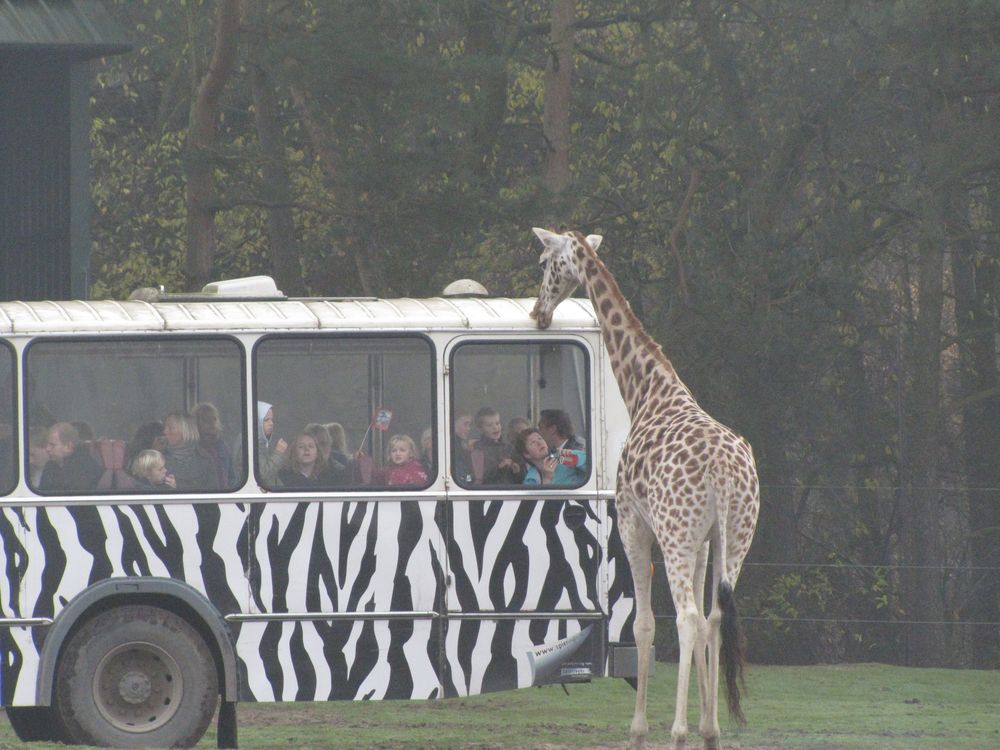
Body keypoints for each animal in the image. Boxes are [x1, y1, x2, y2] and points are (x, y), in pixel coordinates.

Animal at [530, 228, 759, 750]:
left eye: (545, 261)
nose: (538, 312)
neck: (646, 390)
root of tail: (723, 471)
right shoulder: (703, 542)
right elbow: (702, 622)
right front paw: (706, 726)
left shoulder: (634, 525)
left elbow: (643, 625)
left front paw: (638, 730)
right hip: (737, 535)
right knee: (714, 617)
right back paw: (710, 730)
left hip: (675, 534)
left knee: (689, 618)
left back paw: (675, 732)